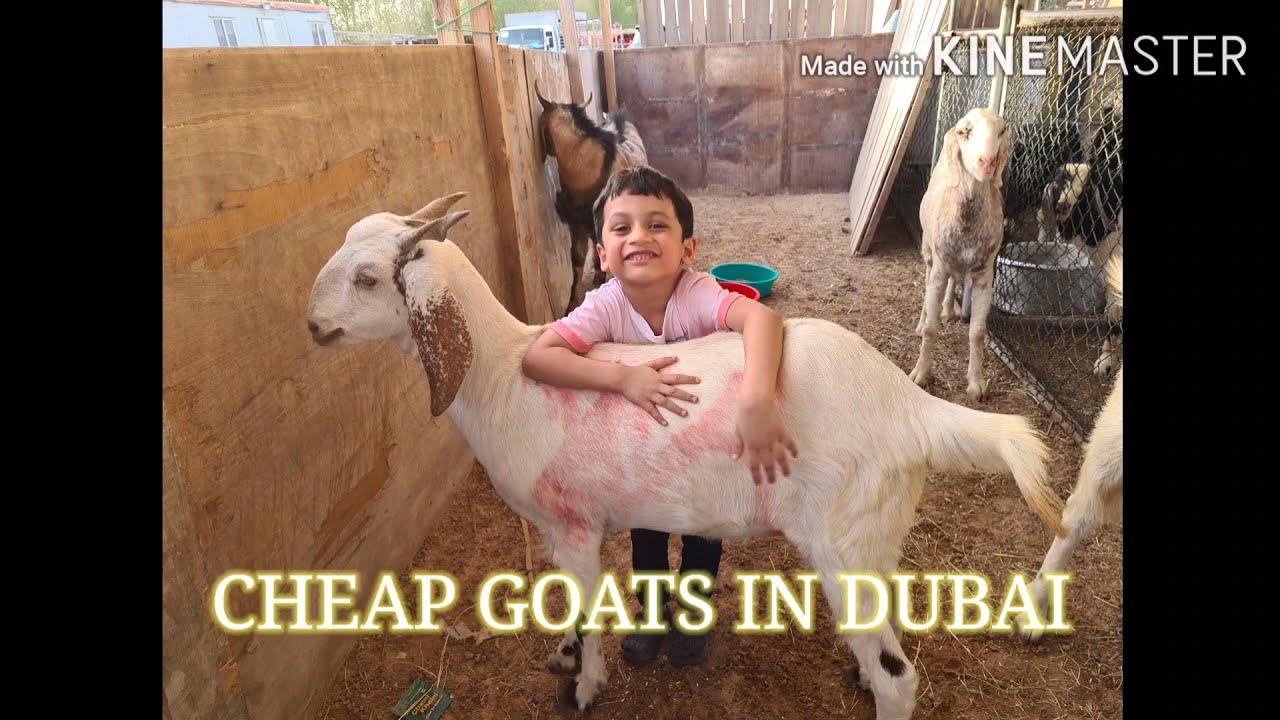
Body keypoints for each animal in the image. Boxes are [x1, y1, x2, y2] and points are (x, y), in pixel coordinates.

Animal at [306, 191, 1068, 719]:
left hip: (845, 538)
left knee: (899, 677)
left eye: (369, 278)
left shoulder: (574, 525)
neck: (503, 373)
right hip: (875, 531)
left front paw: (583, 687)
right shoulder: (556, 530)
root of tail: (910, 408)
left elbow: (586, 612)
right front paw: (564, 659)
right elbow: (570, 614)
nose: (313, 326)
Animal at [910, 107, 1012, 402]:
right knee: (927, 281)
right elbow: (931, 328)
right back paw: (923, 320)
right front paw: (920, 374)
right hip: (929, 251)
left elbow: (977, 333)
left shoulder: (985, 277)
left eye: (1001, 131)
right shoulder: (939, 266)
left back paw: (947, 310)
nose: (987, 163)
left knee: (954, 280)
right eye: (965, 131)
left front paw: (976, 385)